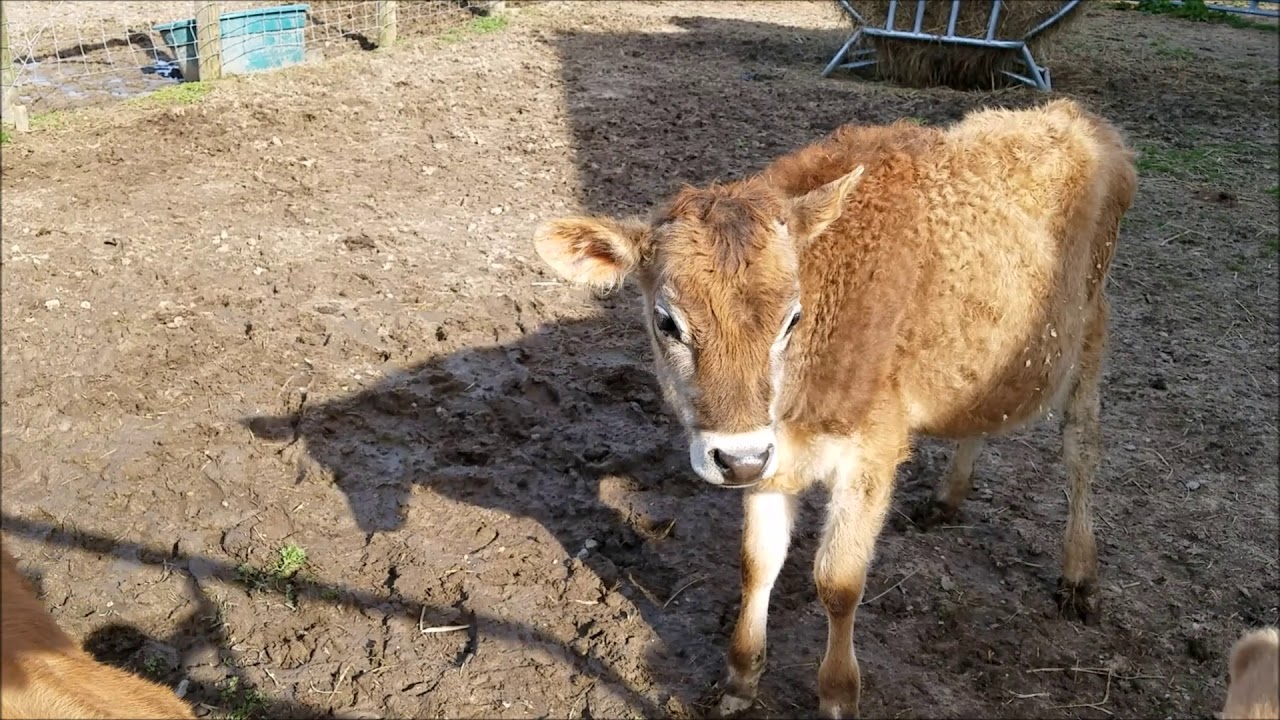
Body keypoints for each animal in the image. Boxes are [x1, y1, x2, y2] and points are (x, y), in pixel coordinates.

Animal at [532, 97, 1137, 718]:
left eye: (792, 318)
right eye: (666, 321)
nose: (736, 459)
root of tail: (1073, 115)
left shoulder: (871, 452)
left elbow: (838, 583)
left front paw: (839, 694)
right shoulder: (769, 456)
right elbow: (757, 562)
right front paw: (740, 678)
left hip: (1091, 331)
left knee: (1081, 452)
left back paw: (1078, 575)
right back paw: (948, 497)